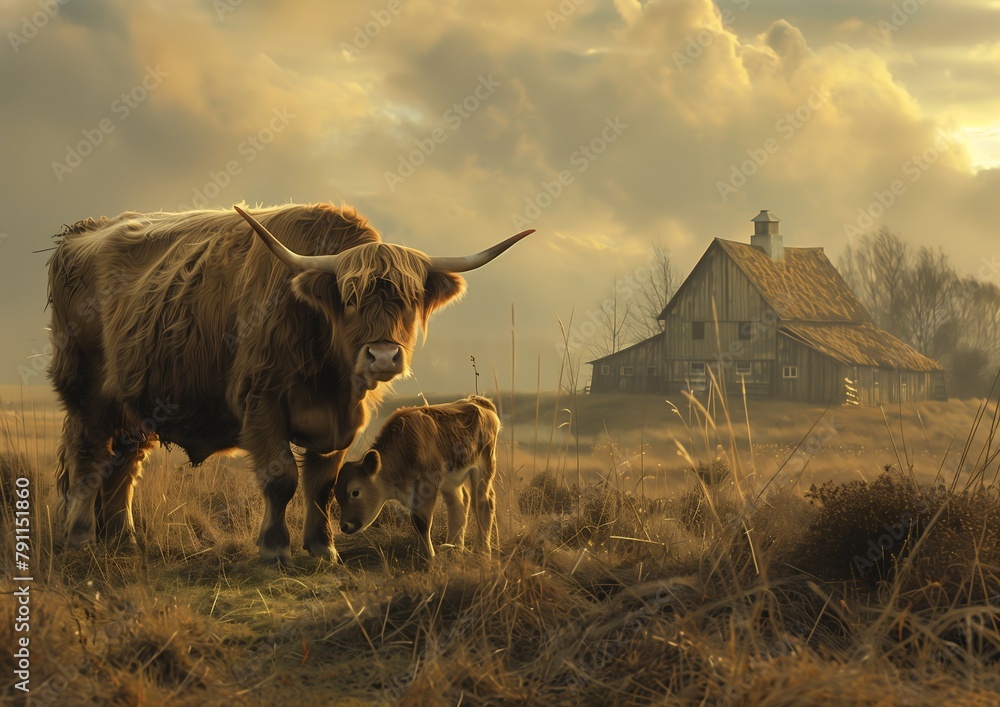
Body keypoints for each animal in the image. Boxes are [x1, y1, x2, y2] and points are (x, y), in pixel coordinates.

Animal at [335, 395, 501, 560]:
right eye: (336, 495)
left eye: (355, 492)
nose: (344, 526)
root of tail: (478, 401)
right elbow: (416, 521)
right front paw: (424, 555)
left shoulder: (427, 483)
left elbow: (421, 521)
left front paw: (428, 557)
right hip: (451, 481)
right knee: (459, 504)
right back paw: (454, 550)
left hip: (482, 467)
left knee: (483, 502)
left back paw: (483, 551)